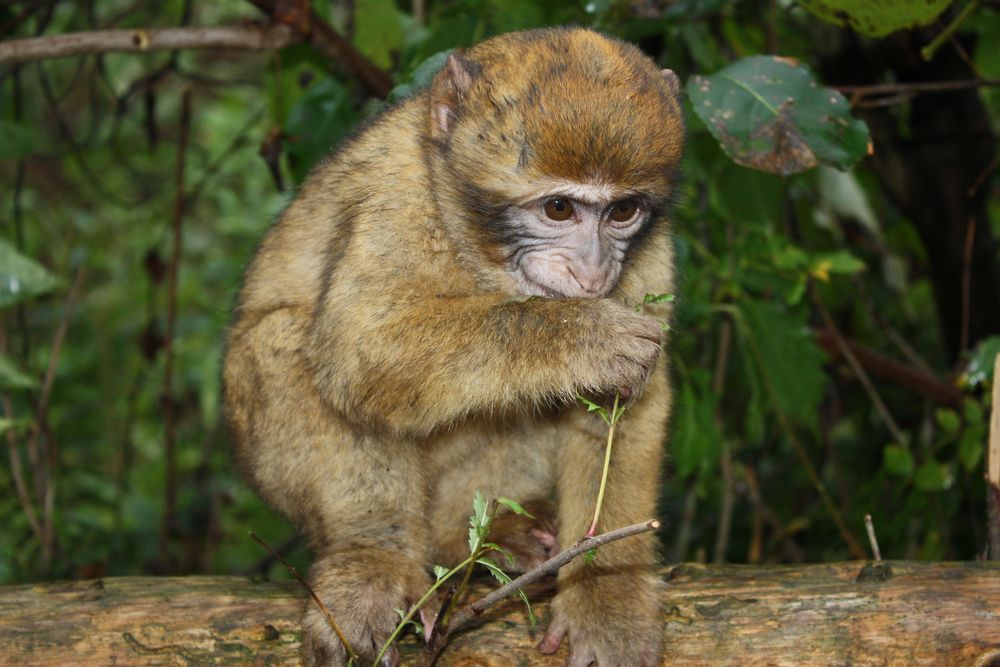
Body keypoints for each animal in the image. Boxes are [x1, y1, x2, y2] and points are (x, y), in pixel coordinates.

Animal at [223, 27, 684, 666]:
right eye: (558, 207)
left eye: (623, 210)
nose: (592, 272)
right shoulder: (398, 197)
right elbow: (360, 348)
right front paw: (583, 338)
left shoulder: (650, 252)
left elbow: (624, 408)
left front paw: (606, 589)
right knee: (286, 340)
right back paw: (376, 554)